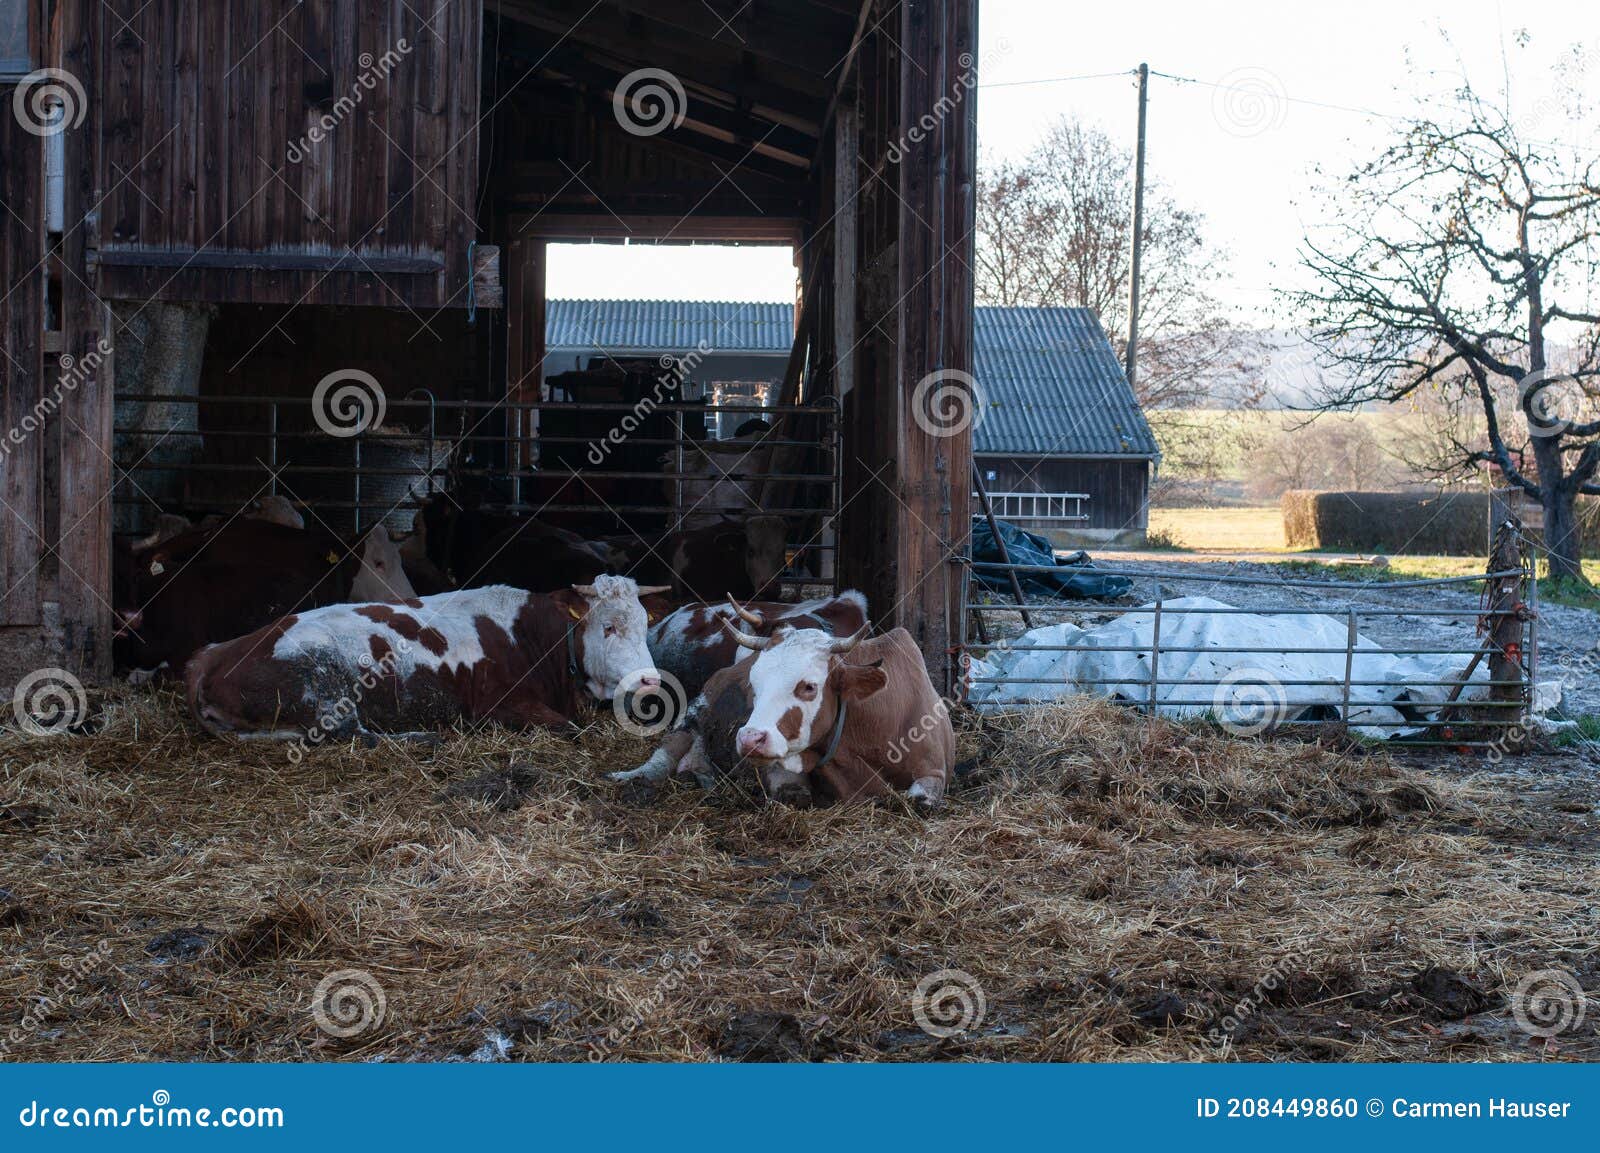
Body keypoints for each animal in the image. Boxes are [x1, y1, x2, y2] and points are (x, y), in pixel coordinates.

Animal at [185, 575, 668, 738]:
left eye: (643, 623)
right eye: (609, 627)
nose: (650, 680)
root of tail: (210, 658)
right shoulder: (497, 705)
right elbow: (570, 729)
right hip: (324, 688)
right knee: (354, 735)